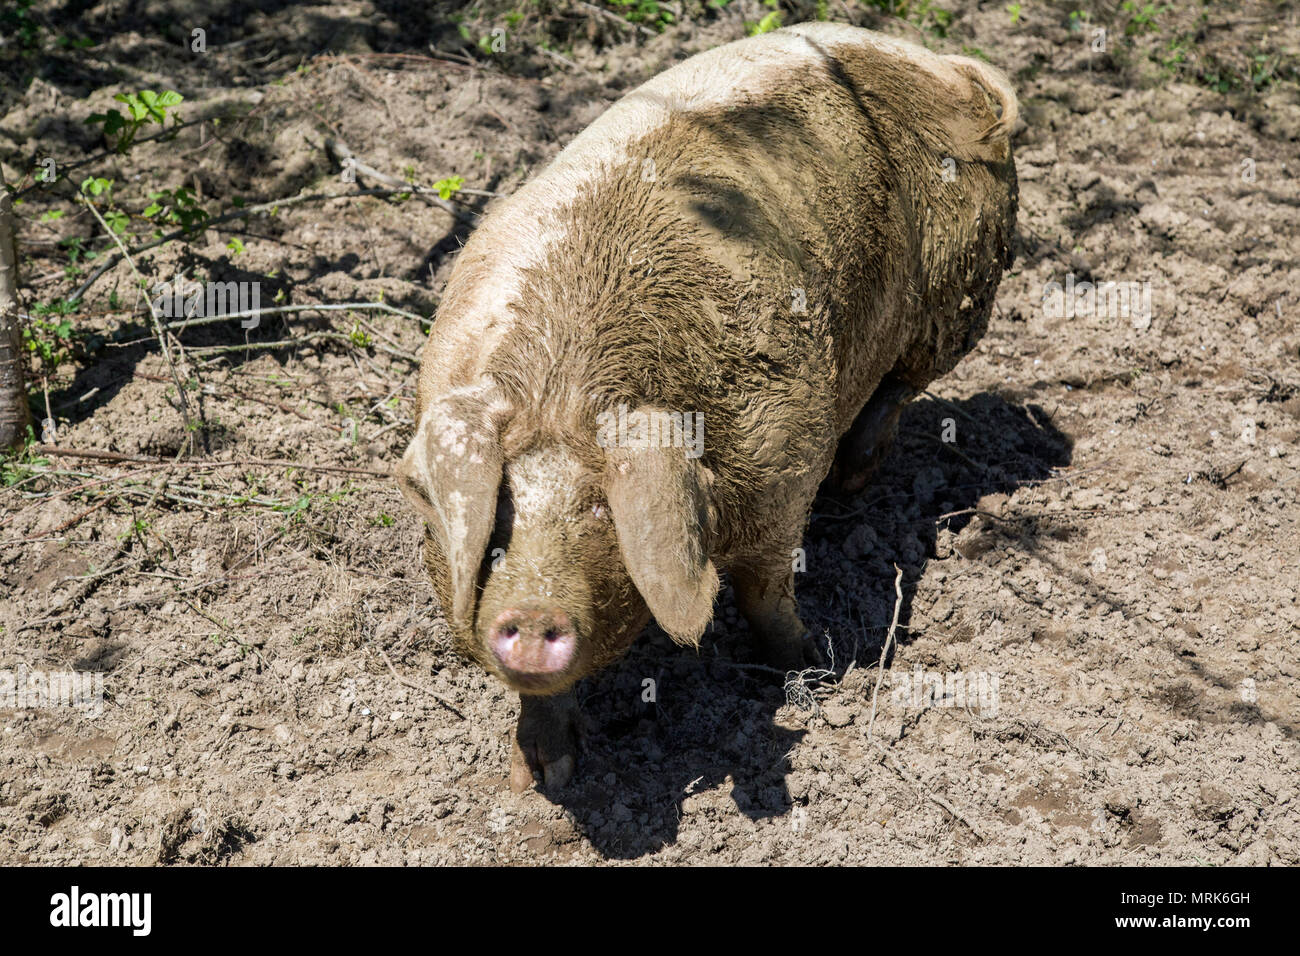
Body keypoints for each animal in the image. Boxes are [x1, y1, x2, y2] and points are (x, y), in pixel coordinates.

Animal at [397, 22, 1018, 791]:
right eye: (501, 515)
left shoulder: (787, 463)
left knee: (900, 386)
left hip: (963, 293)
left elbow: (765, 590)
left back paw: (855, 481)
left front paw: (812, 664)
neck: (562, 386)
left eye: (600, 508)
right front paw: (542, 778)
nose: (534, 616)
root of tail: (946, 67)